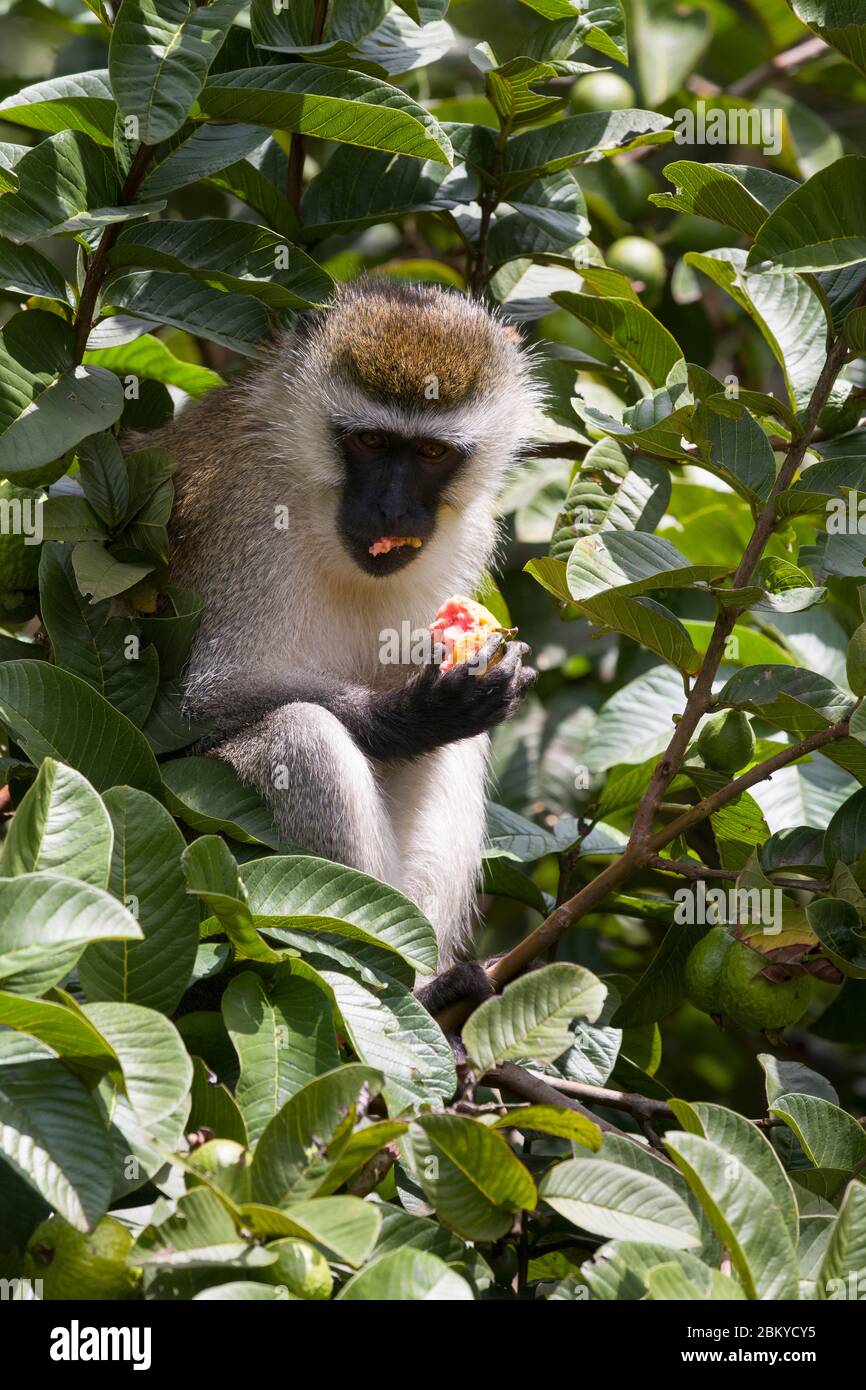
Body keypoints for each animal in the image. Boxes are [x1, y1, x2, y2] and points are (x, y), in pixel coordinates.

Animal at [158, 279, 541, 1011]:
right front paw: (408, 714)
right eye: (368, 440)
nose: (392, 511)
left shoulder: (471, 529)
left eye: (430, 453)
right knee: (304, 738)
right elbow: (195, 704)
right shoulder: (245, 509)